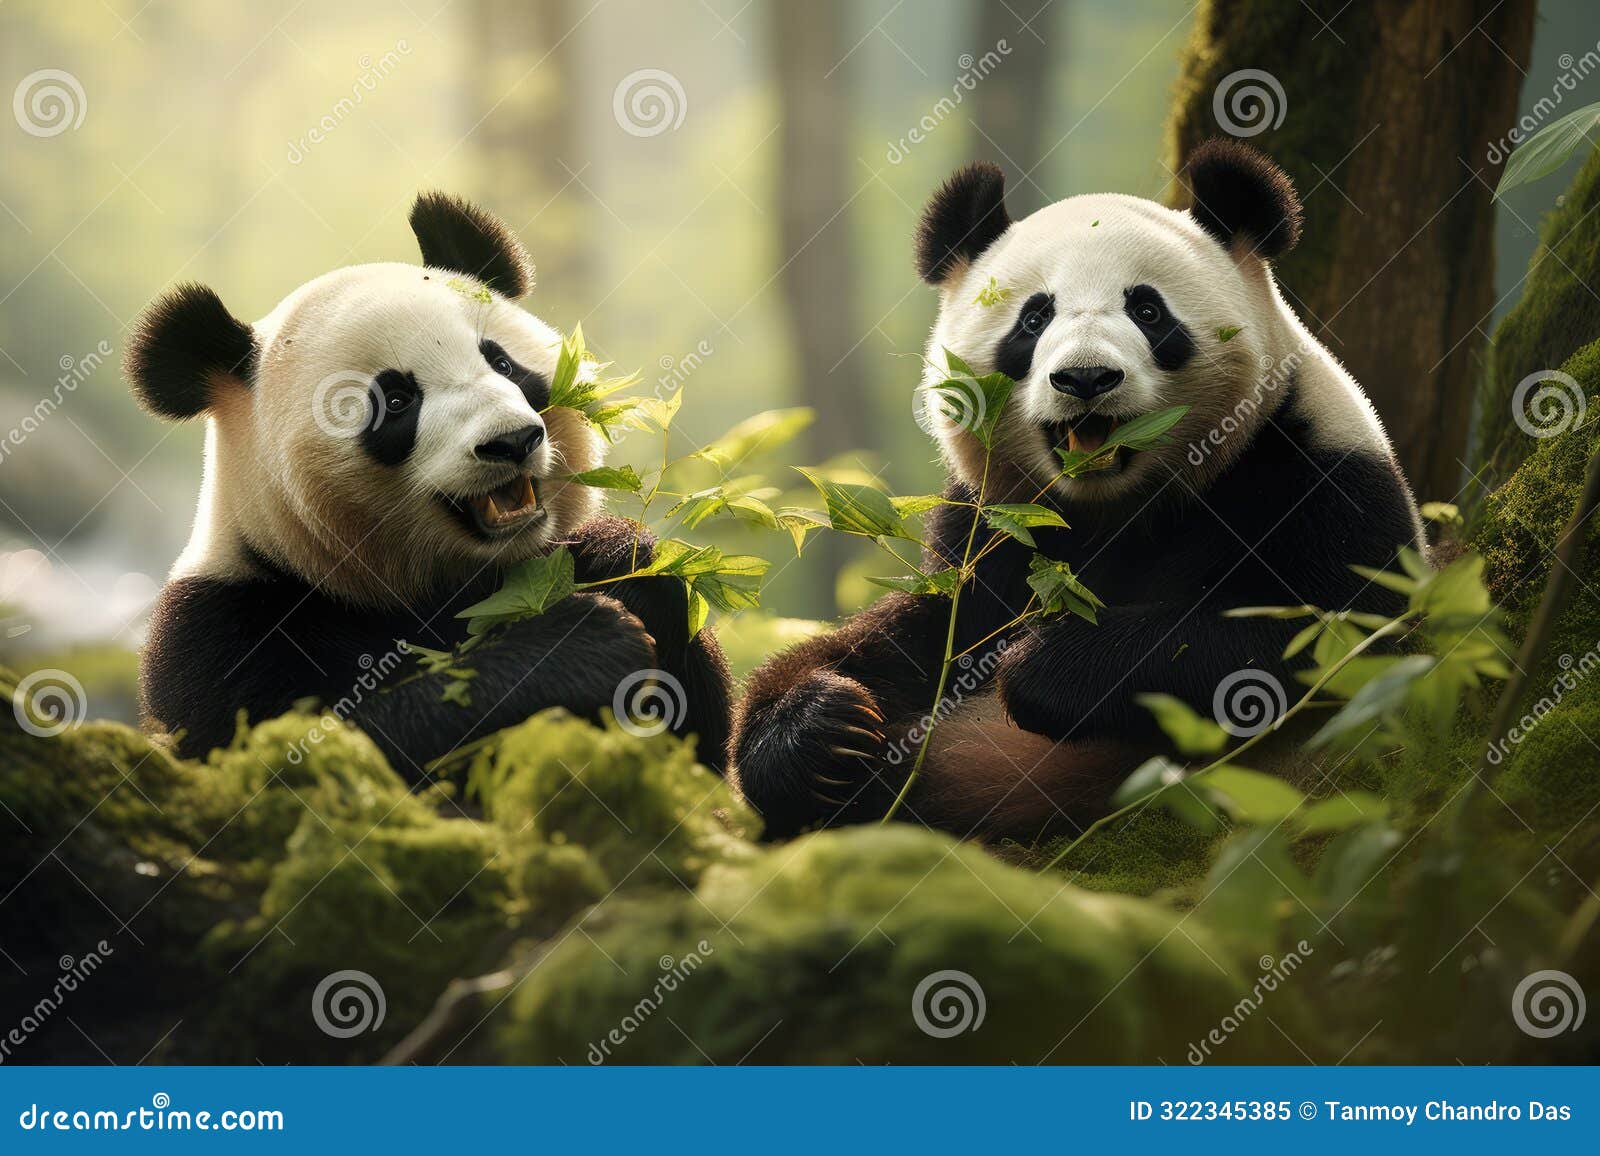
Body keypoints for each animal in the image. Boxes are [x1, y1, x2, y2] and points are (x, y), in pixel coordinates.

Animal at [129, 192, 730, 778]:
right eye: (395, 401)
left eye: (503, 364)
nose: (512, 441)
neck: (442, 585)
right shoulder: (227, 630)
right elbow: (313, 751)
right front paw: (575, 647)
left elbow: (702, 748)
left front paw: (625, 565)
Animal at [731, 139, 1425, 840]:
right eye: (1034, 318)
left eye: (1148, 310)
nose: (1086, 378)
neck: (1114, 510)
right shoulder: (992, 529)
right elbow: (912, 636)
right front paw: (820, 733)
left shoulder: (1310, 473)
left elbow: (1330, 632)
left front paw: (1048, 669)